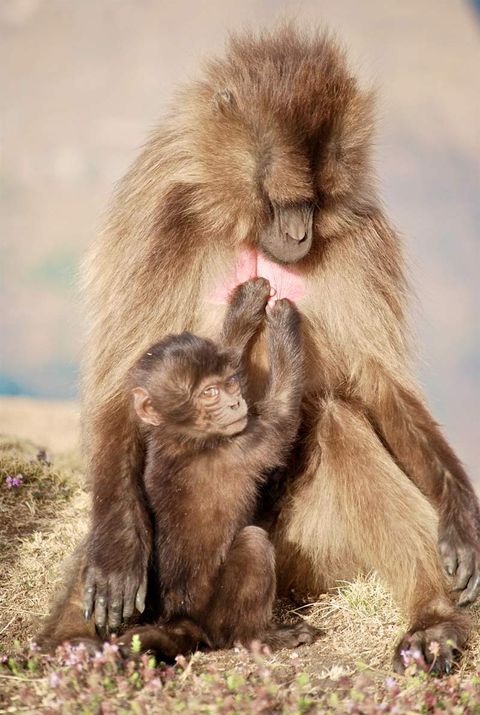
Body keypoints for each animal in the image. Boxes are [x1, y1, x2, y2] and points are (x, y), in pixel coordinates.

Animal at [45, 27, 478, 673]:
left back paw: (431, 622)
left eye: (317, 200)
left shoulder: (361, 233)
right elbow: (125, 377)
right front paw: (117, 553)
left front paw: (459, 517)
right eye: (284, 199)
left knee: (337, 421)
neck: (245, 225)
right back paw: (78, 644)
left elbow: (377, 382)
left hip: (309, 556)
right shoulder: (161, 223)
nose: (299, 236)